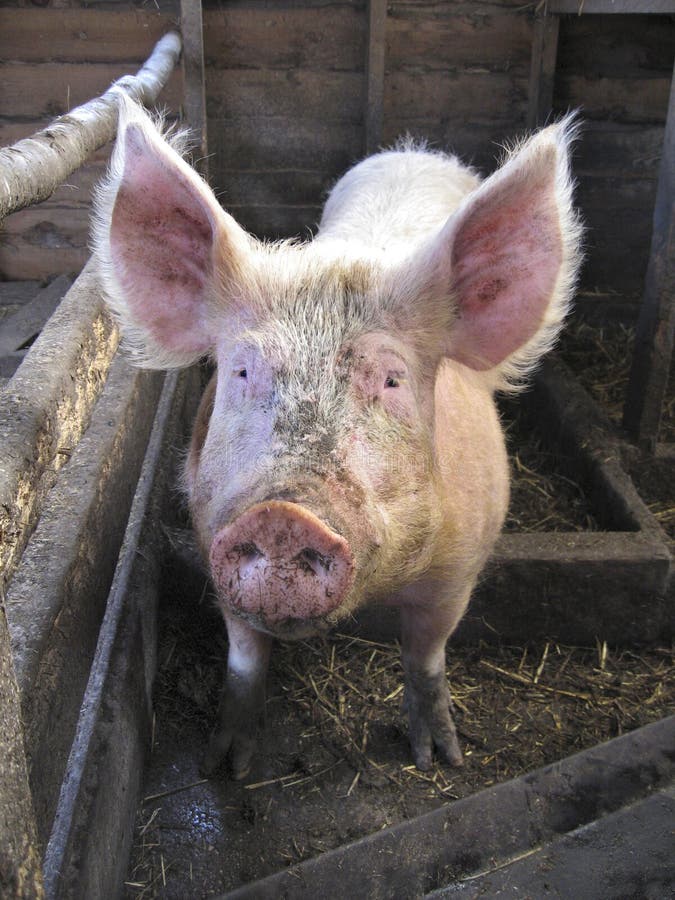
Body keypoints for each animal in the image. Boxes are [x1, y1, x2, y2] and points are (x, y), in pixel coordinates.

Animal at [94, 95, 582, 779]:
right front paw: (228, 767)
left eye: (392, 379)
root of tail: (412, 149)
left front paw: (441, 759)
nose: (283, 514)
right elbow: (244, 657)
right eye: (242, 372)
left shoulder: (461, 566)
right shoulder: (211, 530)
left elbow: (426, 654)